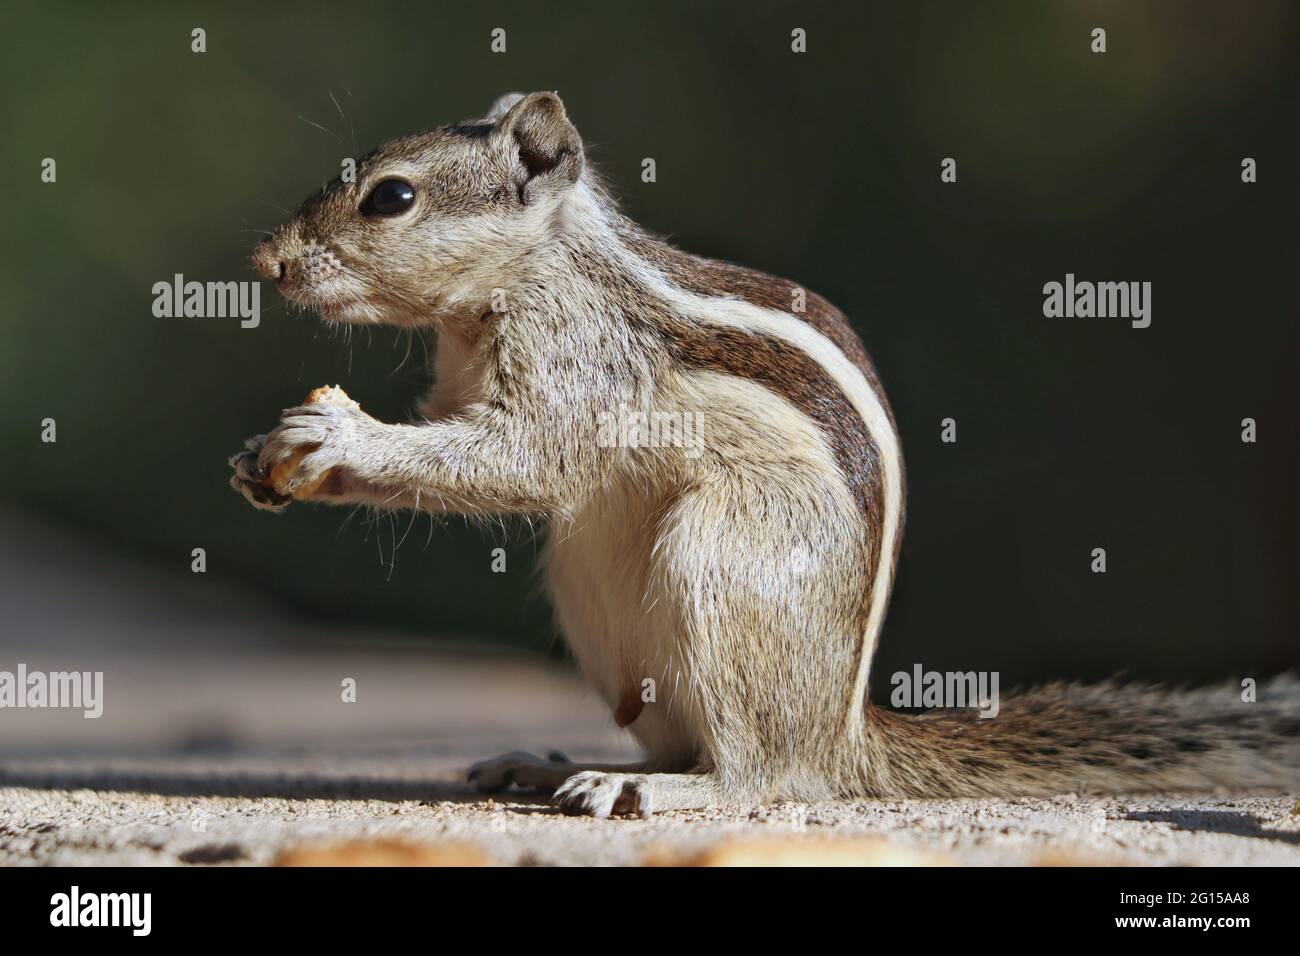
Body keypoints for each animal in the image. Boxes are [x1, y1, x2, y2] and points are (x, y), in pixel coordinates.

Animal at [231, 92, 1300, 817]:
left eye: (391, 198)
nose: (266, 262)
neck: (531, 270)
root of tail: (842, 736)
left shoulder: (579, 366)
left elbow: (521, 459)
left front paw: (337, 436)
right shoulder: (458, 383)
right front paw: (261, 456)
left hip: (719, 557)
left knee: (759, 776)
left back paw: (664, 795)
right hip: (601, 604)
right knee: (681, 744)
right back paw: (562, 769)